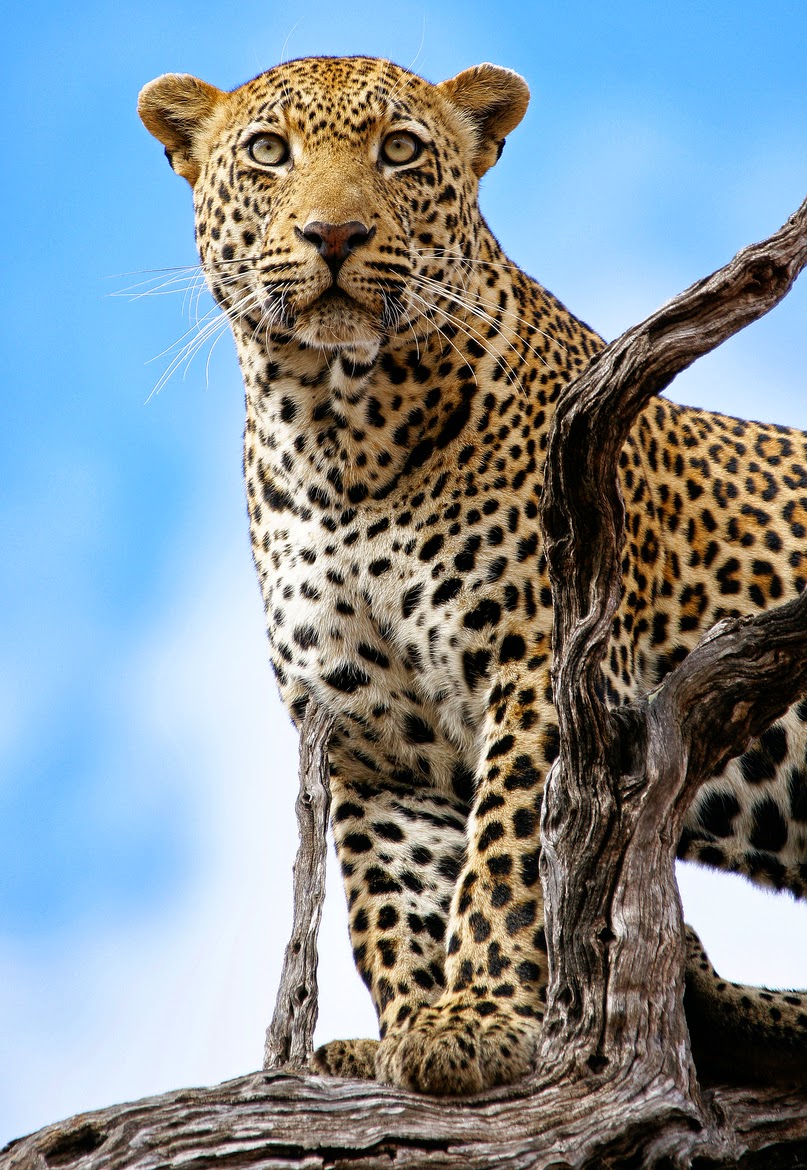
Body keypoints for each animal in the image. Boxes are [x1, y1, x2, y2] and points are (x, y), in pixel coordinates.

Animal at [138, 55, 807, 1096]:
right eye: (268, 151)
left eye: (400, 150)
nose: (334, 233)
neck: (338, 434)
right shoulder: (366, 735)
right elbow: (392, 897)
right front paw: (411, 1029)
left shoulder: (545, 671)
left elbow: (509, 853)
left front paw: (483, 1017)